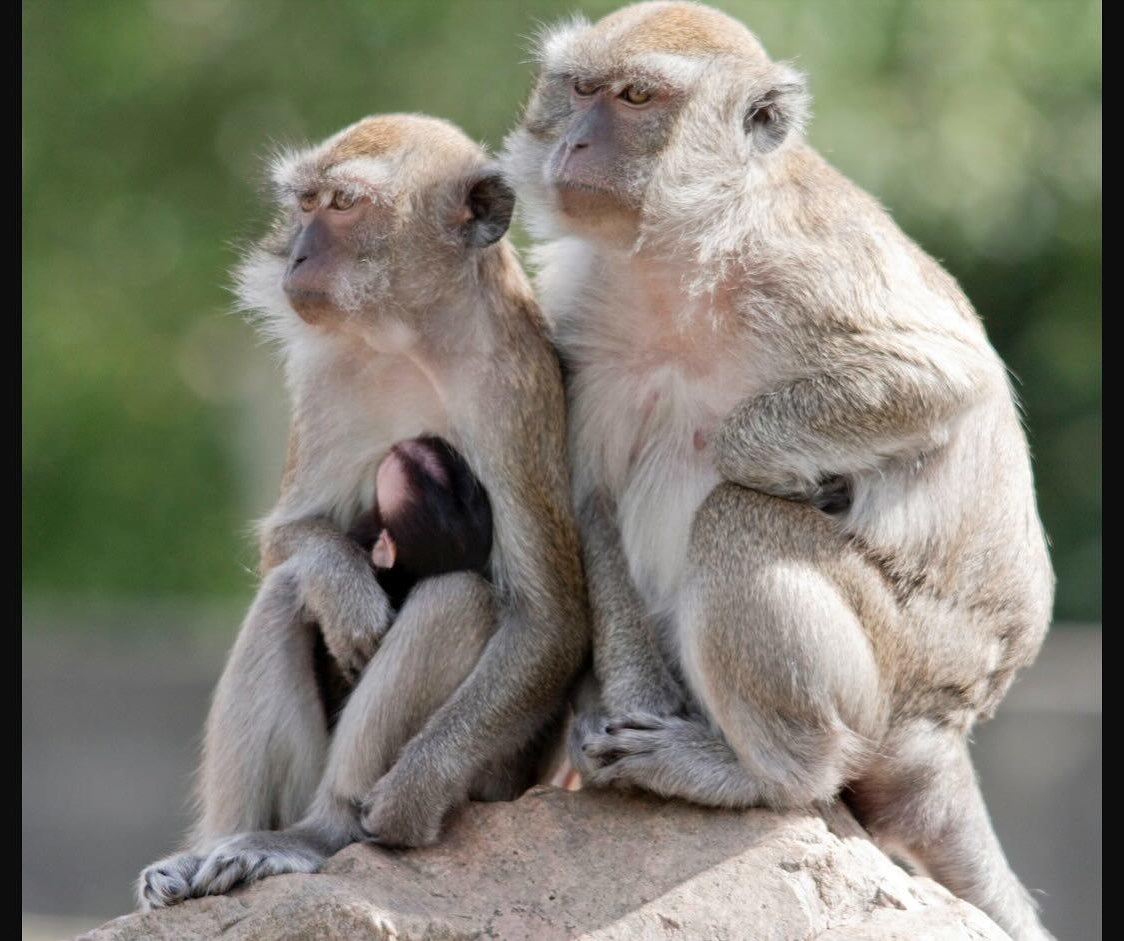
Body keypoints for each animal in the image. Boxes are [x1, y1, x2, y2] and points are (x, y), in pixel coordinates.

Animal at [502, 4, 1055, 939]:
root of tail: (950, 722)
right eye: (577, 89)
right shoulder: (582, 315)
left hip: (897, 670)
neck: (680, 258)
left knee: (737, 520)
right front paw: (624, 703)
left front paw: (781, 468)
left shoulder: (803, 267)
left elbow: (946, 378)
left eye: (636, 98)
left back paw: (768, 773)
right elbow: (591, 496)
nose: (573, 143)